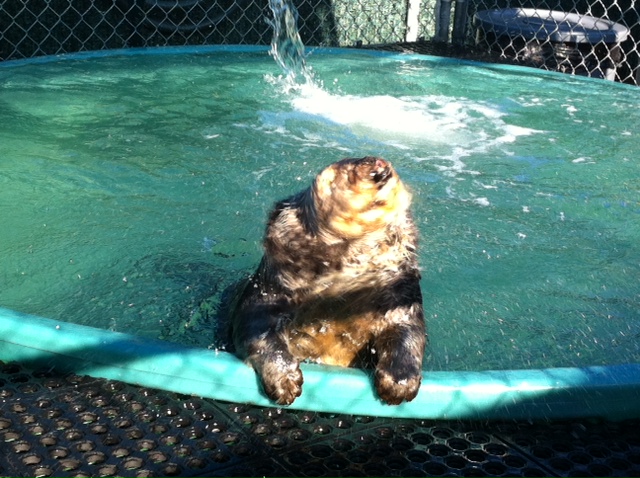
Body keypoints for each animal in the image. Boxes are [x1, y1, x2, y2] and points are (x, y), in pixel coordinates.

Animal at [227, 156, 425, 405]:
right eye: (348, 172)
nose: (378, 165)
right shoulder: (270, 289)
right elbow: (257, 329)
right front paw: (286, 381)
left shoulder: (399, 291)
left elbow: (407, 330)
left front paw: (399, 383)